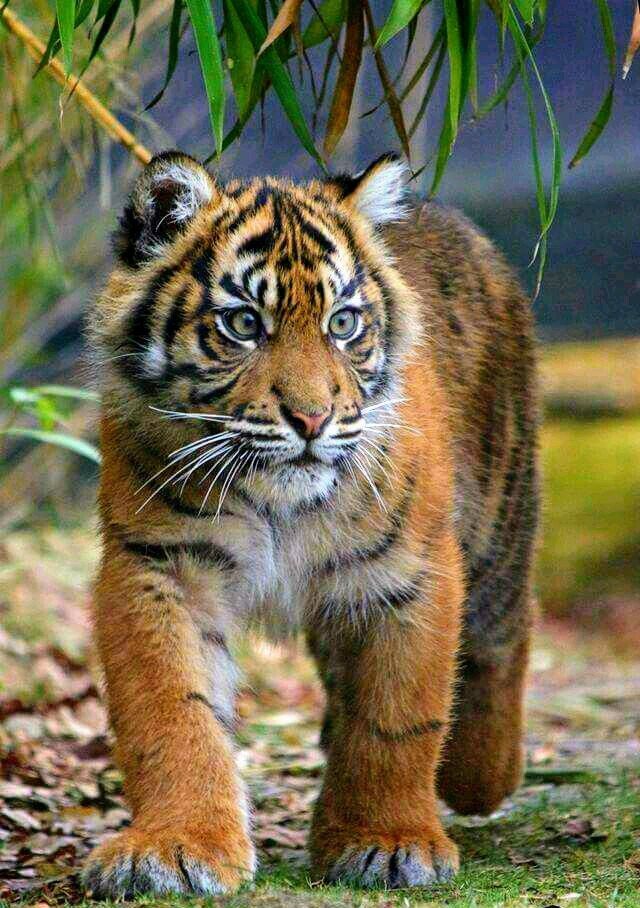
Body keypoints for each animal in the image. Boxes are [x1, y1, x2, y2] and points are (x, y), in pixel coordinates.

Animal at [83, 150, 539, 897]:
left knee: (507, 623)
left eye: (343, 324)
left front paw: (388, 842)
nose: (311, 419)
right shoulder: (160, 566)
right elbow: (171, 710)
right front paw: (175, 846)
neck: (277, 503)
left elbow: (397, 717)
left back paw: (480, 774)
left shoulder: (408, 572)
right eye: (243, 324)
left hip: (502, 513)